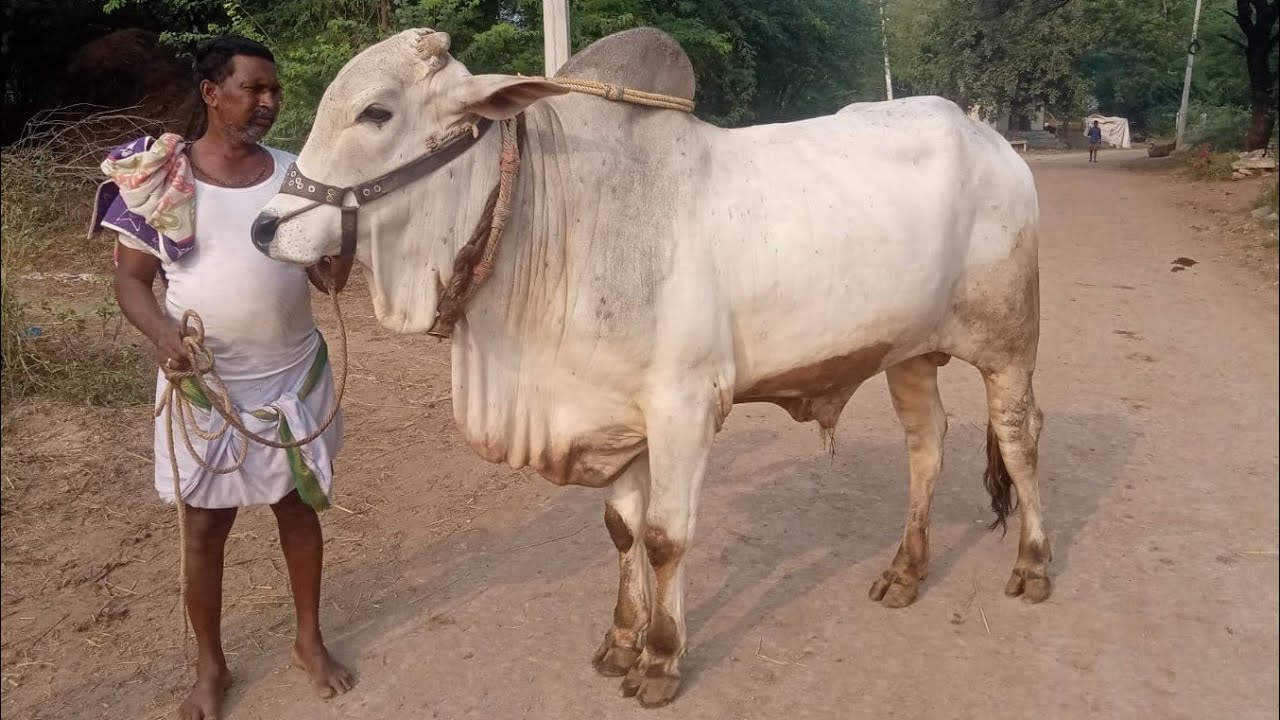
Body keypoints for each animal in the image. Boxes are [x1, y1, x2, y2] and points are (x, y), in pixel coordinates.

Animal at [251, 27, 1049, 708]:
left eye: (375, 112)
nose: (265, 229)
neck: (554, 218)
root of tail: (989, 137)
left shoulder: (685, 409)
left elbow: (666, 537)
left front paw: (662, 658)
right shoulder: (616, 415)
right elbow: (621, 528)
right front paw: (620, 640)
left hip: (1009, 341)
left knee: (1019, 438)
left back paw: (1033, 565)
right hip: (906, 352)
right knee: (927, 443)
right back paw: (906, 570)